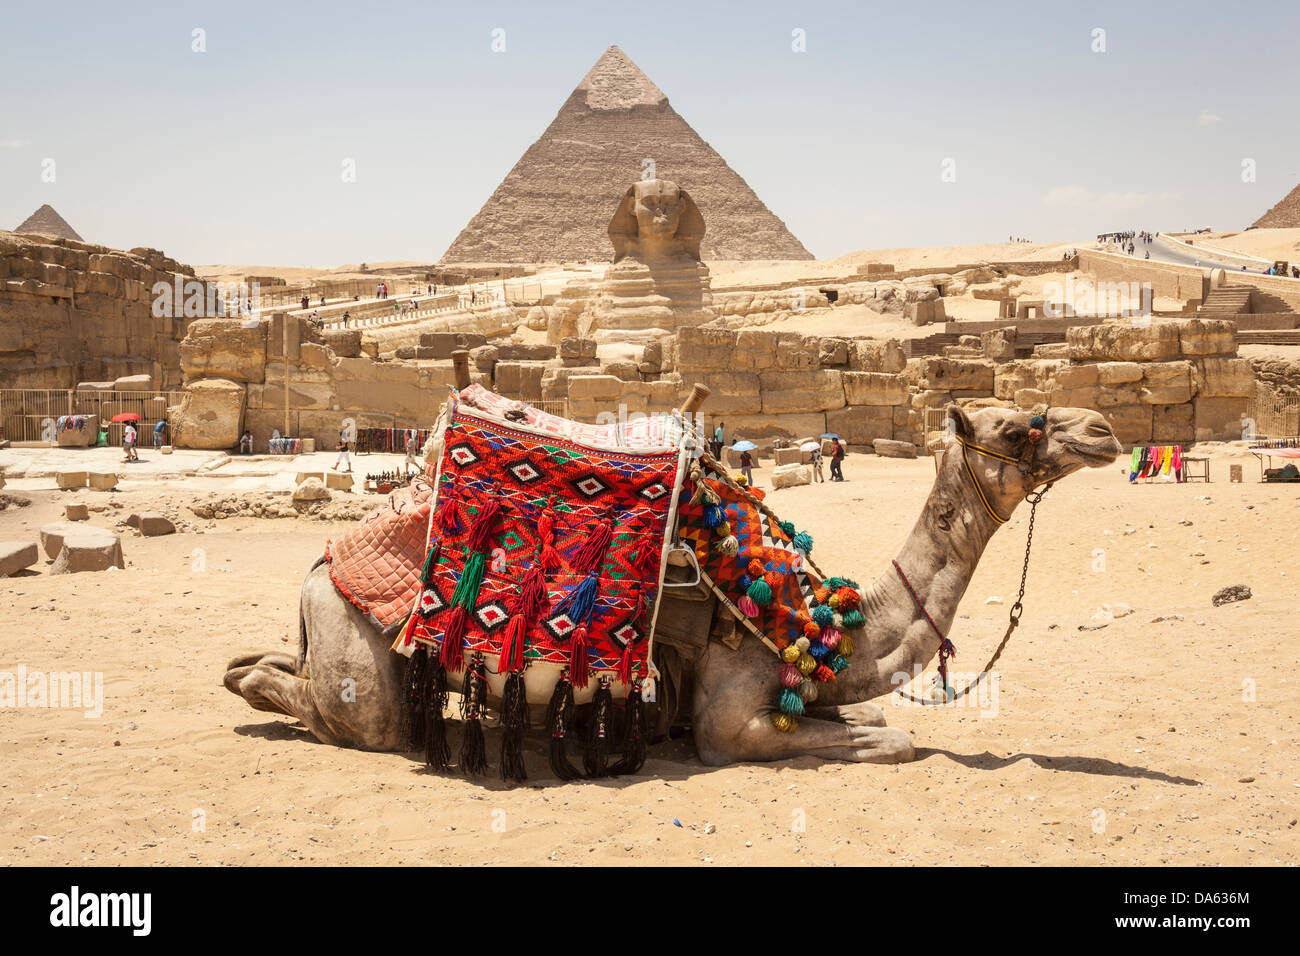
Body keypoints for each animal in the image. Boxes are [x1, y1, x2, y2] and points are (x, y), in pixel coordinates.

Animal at [224, 401, 1120, 770]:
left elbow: (868, 719)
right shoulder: (733, 720)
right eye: (1020, 427)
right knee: (326, 708)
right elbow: (892, 739)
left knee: (265, 667)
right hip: (356, 666)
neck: (823, 623)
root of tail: (322, 566)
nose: (1104, 429)